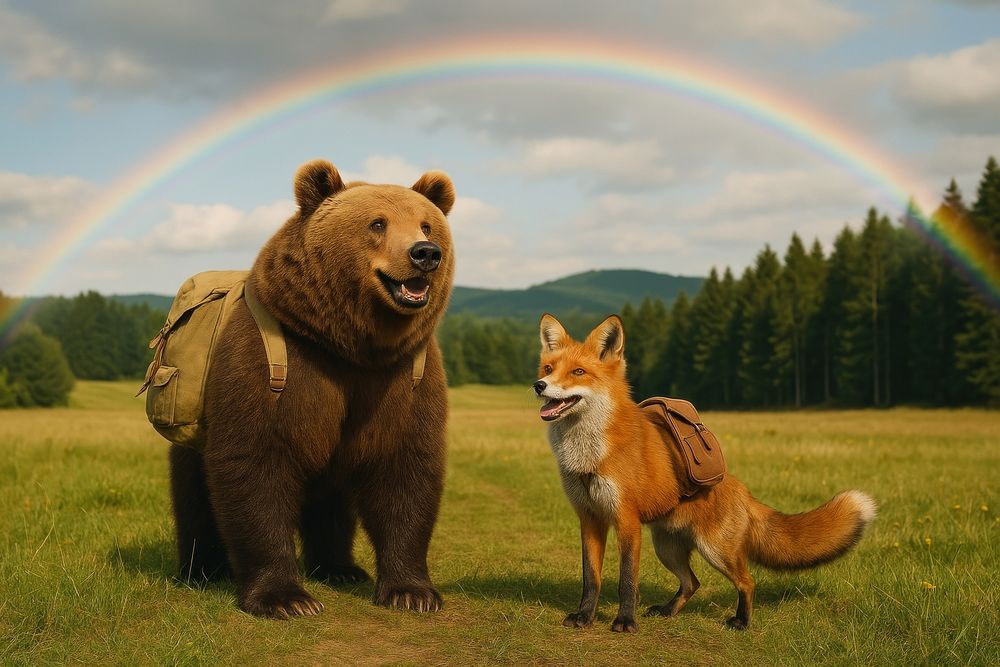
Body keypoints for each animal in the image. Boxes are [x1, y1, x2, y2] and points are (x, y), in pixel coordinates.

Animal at [168, 158, 456, 618]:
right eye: (377, 223)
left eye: (427, 224)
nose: (425, 253)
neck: (347, 347)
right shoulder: (276, 365)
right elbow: (254, 462)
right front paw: (286, 599)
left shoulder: (403, 378)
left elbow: (406, 465)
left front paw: (412, 592)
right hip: (196, 429)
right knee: (194, 494)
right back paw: (201, 570)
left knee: (332, 501)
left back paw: (340, 568)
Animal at [535, 313, 876, 633]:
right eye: (548, 369)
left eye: (578, 372)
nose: (539, 386)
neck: (587, 456)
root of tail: (741, 489)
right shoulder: (590, 518)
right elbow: (590, 578)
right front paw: (584, 616)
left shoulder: (626, 520)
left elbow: (626, 581)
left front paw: (625, 621)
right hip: (667, 548)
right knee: (692, 583)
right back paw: (669, 611)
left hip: (715, 551)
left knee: (747, 581)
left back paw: (741, 622)